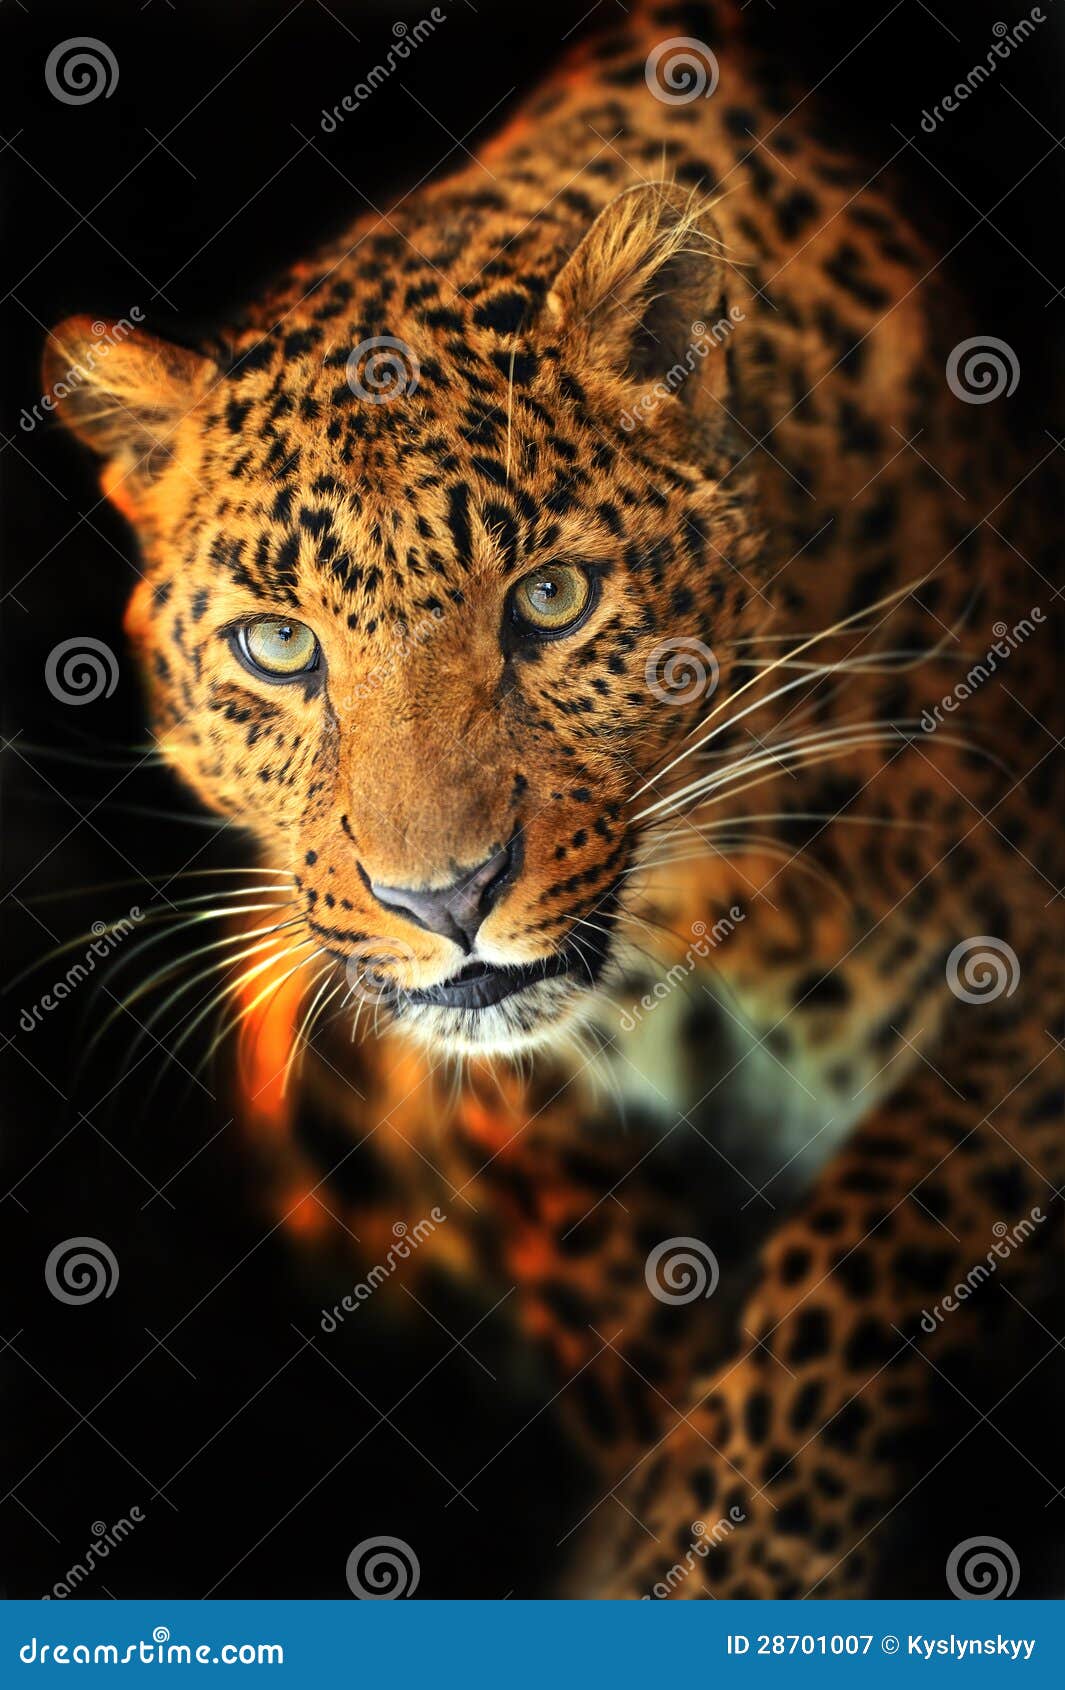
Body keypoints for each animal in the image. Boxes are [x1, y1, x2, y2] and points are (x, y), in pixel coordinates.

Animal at [45, 0, 1062, 1599]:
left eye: (552, 601)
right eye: (278, 645)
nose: (442, 899)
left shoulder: (1027, 988)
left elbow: (849, 1260)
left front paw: (734, 1561)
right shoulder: (455, 1084)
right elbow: (608, 1261)